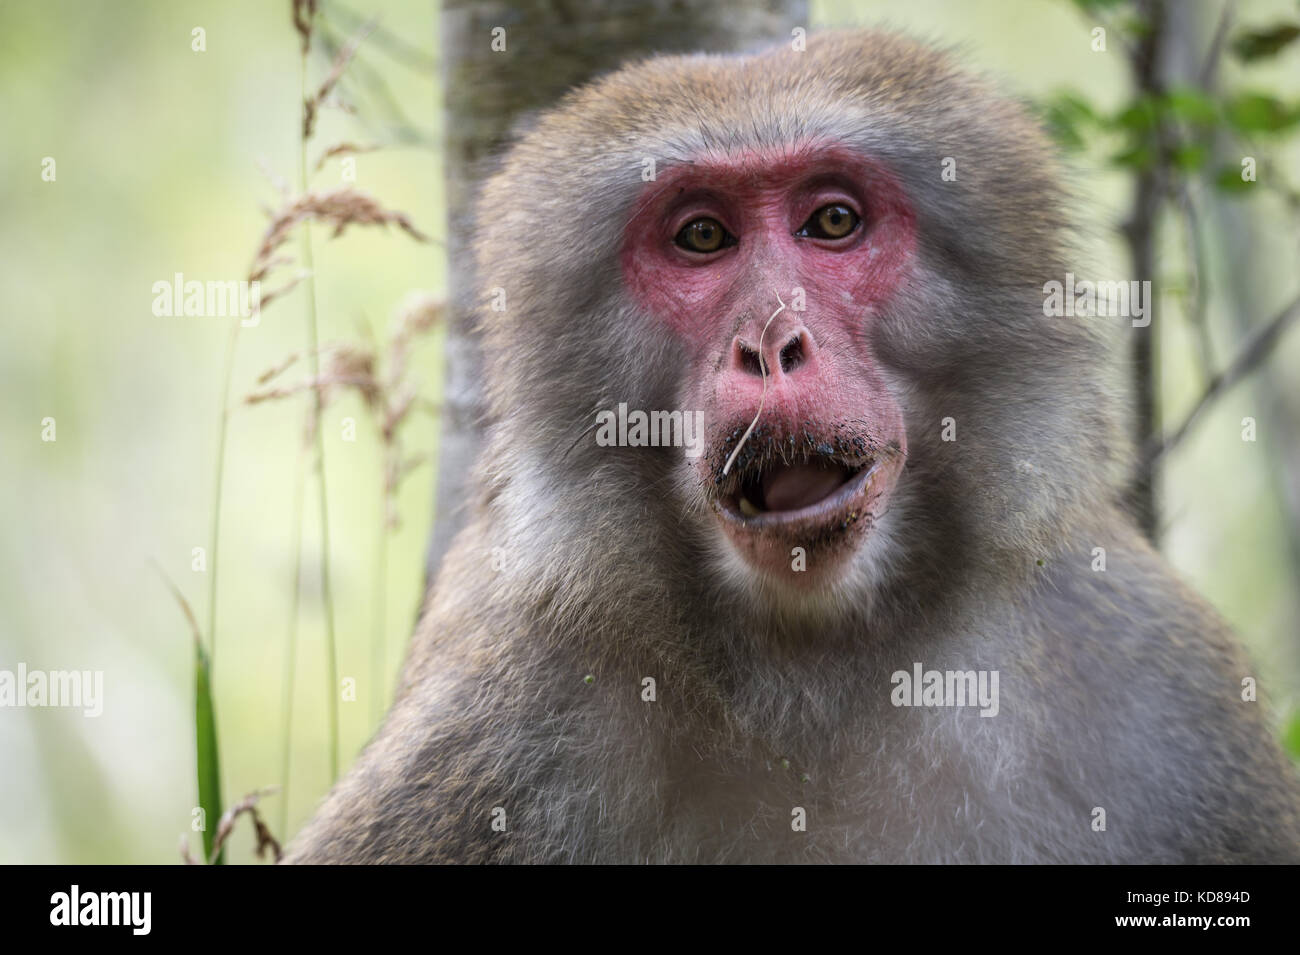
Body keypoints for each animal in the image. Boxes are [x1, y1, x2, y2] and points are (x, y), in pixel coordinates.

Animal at [284, 29, 1300, 864]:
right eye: (702, 235)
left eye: (833, 222)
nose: (772, 341)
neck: (810, 660)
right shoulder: (495, 706)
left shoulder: (1155, 673)